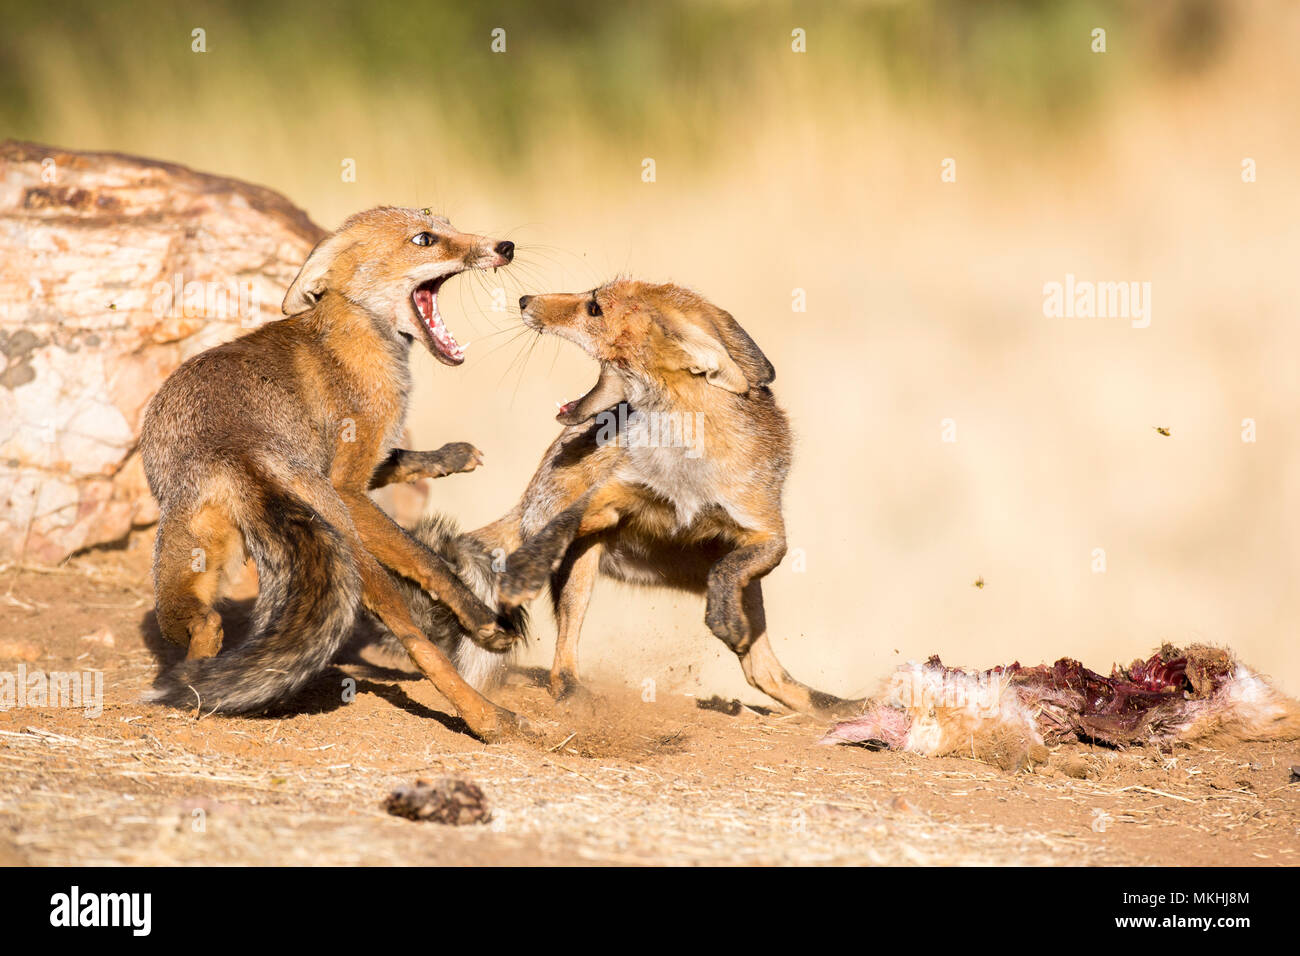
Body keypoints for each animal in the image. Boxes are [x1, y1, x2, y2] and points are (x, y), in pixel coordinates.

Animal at [138, 206, 531, 742]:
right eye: (425, 240)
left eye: (447, 225)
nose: (505, 247)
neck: (352, 334)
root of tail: (238, 446)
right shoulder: (347, 488)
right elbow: (428, 562)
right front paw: (480, 620)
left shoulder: (357, 468)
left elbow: (398, 461)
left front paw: (449, 456)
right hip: (353, 553)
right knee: (416, 639)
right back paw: (488, 718)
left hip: (179, 565)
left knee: (203, 625)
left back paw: (197, 691)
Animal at [463, 279, 859, 718]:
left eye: (594, 308)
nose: (524, 301)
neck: (685, 466)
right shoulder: (615, 494)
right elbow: (566, 522)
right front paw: (526, 566)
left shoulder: (767, 532)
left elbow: (730, 569)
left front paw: (723, 617)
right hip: (582, 561)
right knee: (563, 648)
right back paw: (571, 687)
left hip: (745, 589)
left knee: (762, 671)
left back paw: (832, 706)